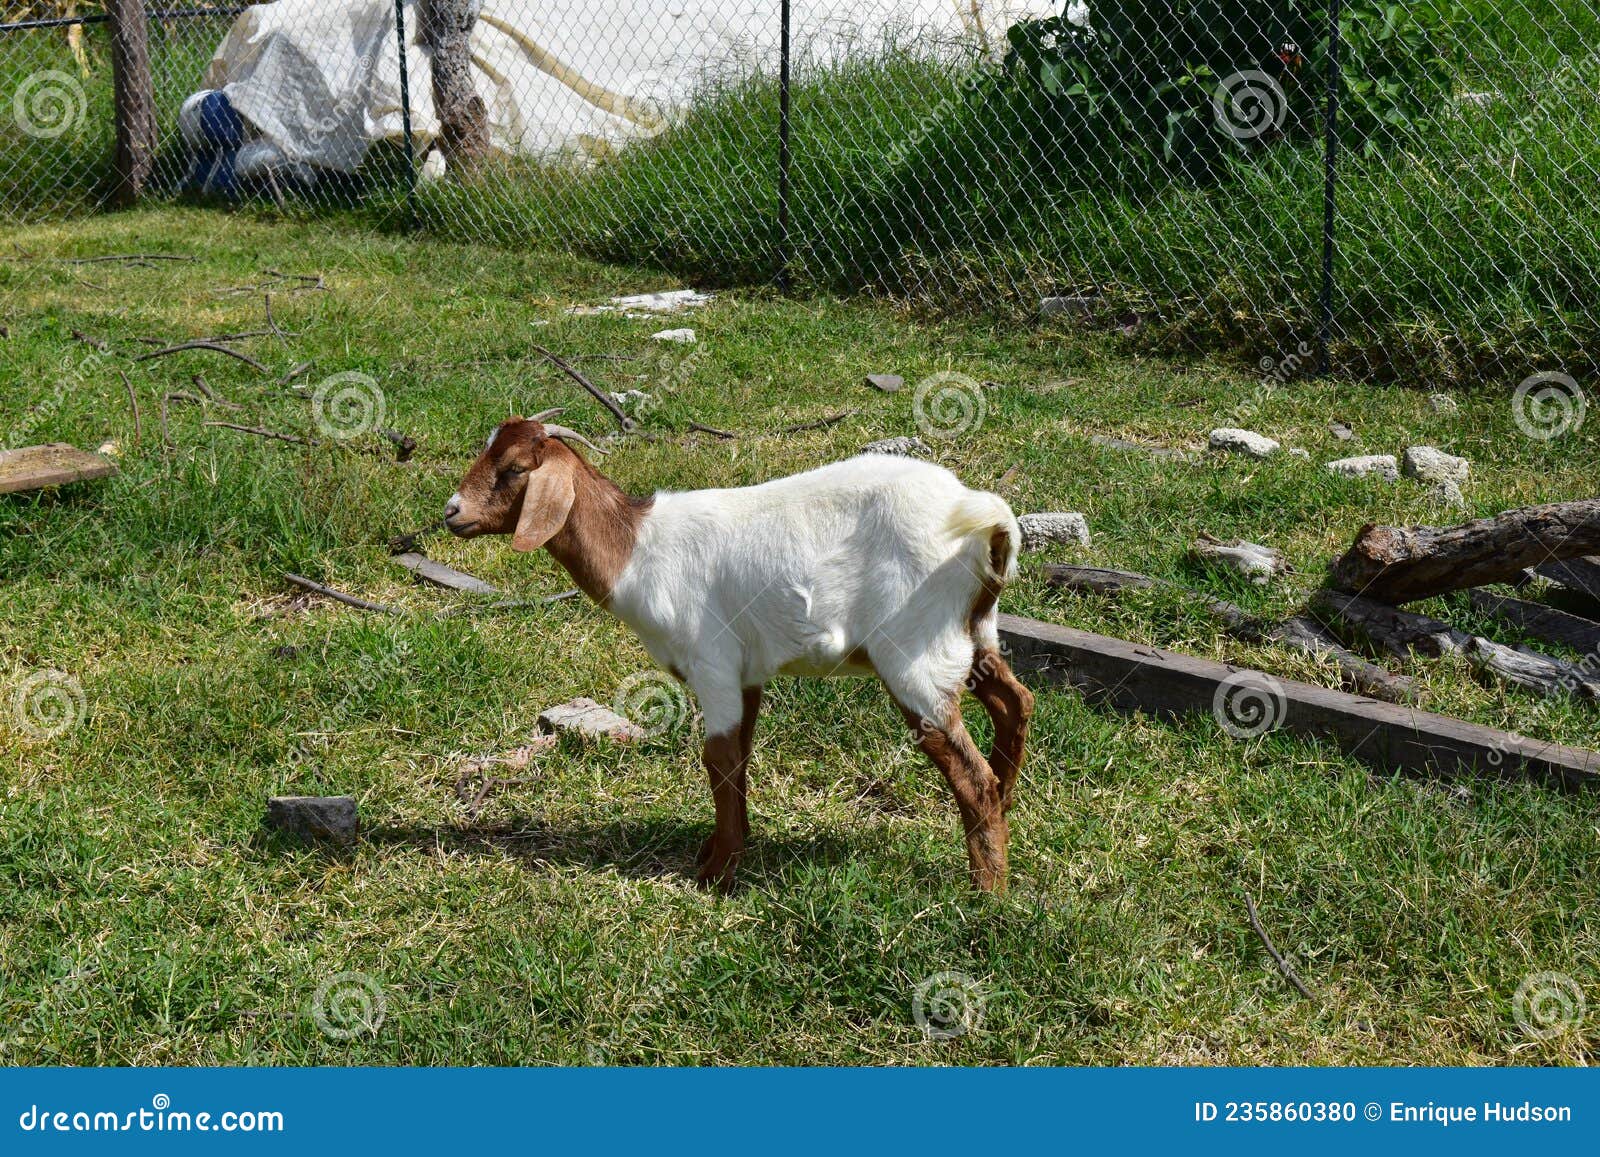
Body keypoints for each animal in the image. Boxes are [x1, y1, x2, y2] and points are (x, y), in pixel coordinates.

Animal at [444, 413, 1034, 891]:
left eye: (514, 469)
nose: (452, 512)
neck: (638, 549)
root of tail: (982, 517)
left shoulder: (714, 665)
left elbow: (719, 759)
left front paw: (716, 873)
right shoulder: (749, 672)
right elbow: (741, 757)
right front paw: (727, 845)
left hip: (914, 650)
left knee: (969, 773)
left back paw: (988, 890)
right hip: (974, 630)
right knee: (1015, 702)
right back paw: (1006, 808)